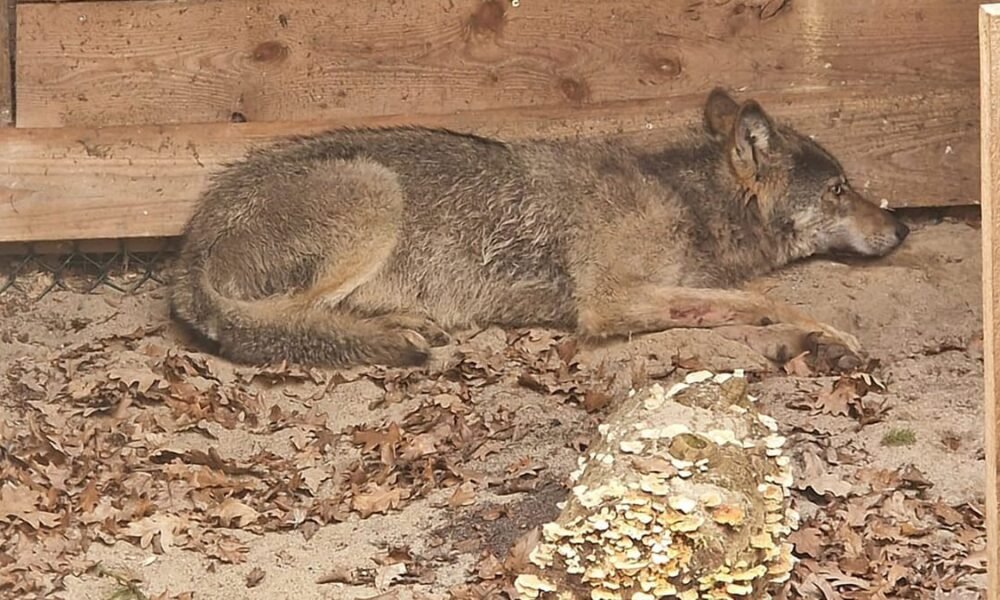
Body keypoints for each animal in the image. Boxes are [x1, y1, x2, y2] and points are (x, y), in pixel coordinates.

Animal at [169, 88, 909, 368]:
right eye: (840, 190)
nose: (902, 228)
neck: (684, 199)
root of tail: (189, 247)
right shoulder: (608, 302)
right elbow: (764, 300)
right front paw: (828, 335)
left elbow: (743, 300)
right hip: (376, 192)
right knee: (282, 323)